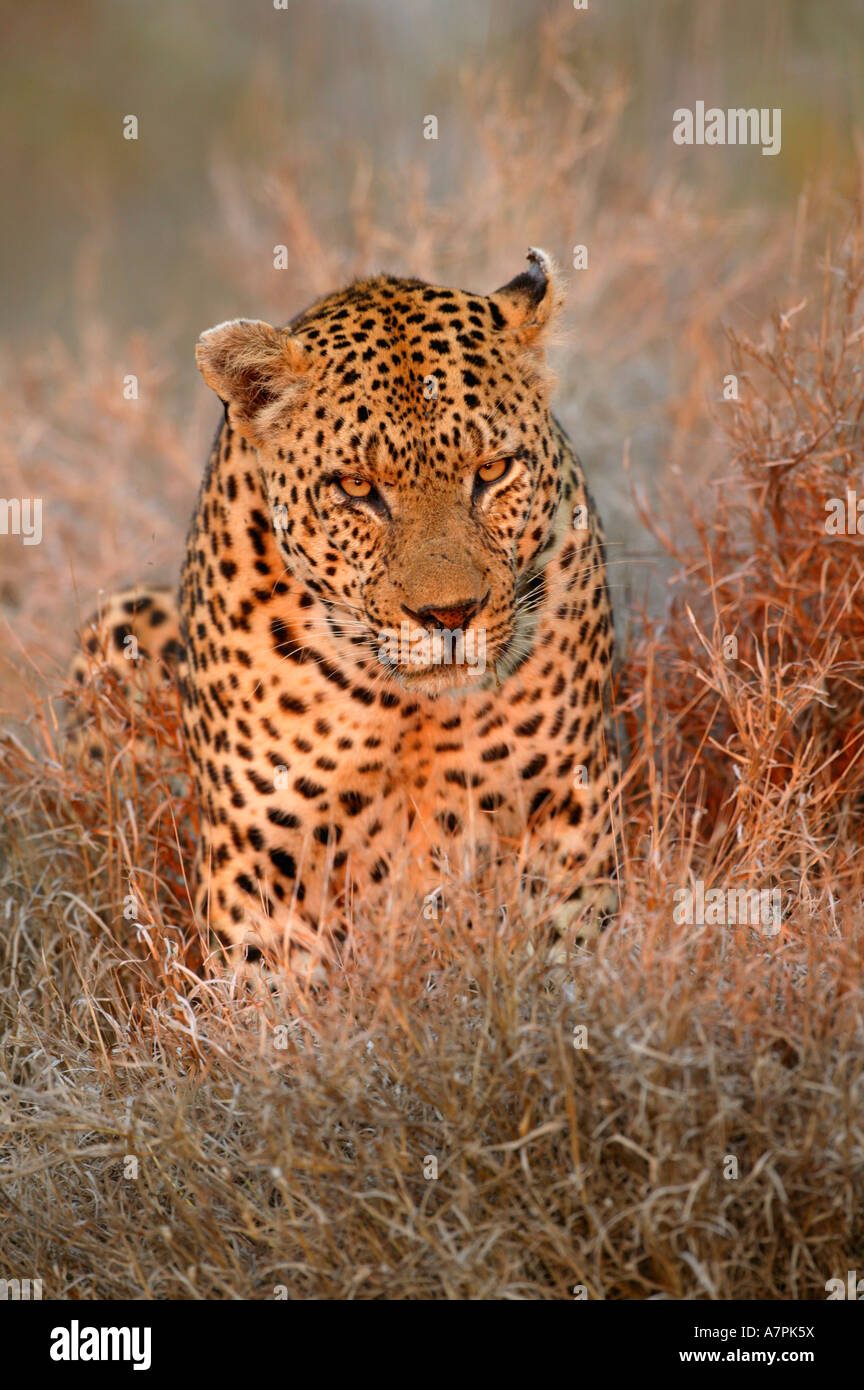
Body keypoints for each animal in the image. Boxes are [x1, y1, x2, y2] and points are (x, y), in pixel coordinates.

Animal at [68, 249, 619, 979]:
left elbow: (572, 959)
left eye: (493, 471)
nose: (450, 617)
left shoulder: (571, 806)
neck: (411, 711)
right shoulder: (256, 857)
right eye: (357, 487)